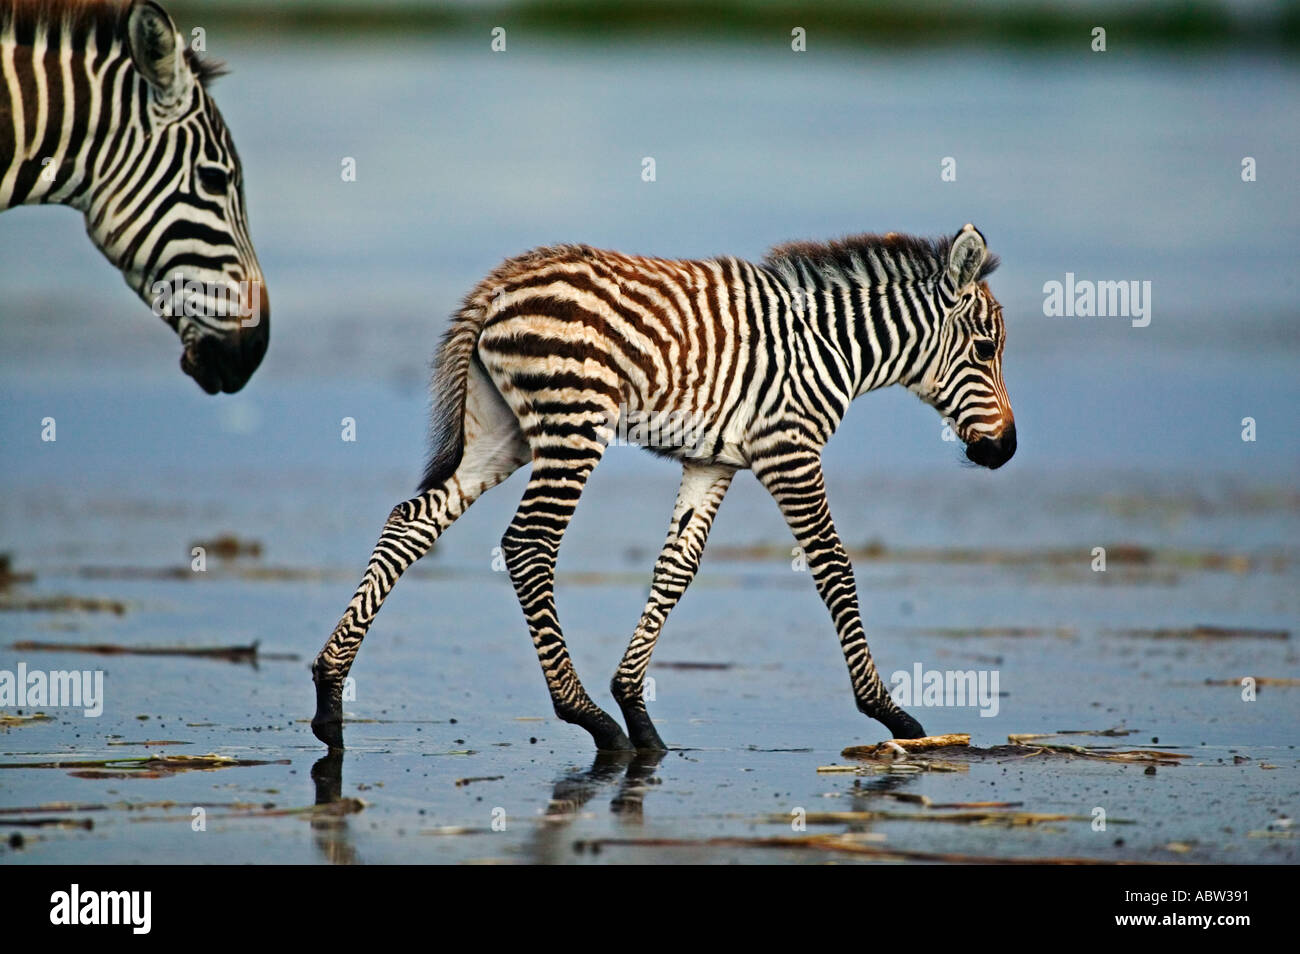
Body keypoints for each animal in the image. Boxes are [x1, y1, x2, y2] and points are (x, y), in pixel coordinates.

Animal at [311, 224, 1015, 752]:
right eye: (985, 350)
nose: (1005, 451)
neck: (833, 347)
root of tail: (503, 282)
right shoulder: (789, 451)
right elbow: (834, 566)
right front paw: (890, 714)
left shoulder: (713, 462)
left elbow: (677, 568)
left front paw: (637, 707)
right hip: (573, 422)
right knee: (528, 545)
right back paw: (587, 718)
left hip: (500, 432)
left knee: (411, 519)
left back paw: (329, 694)